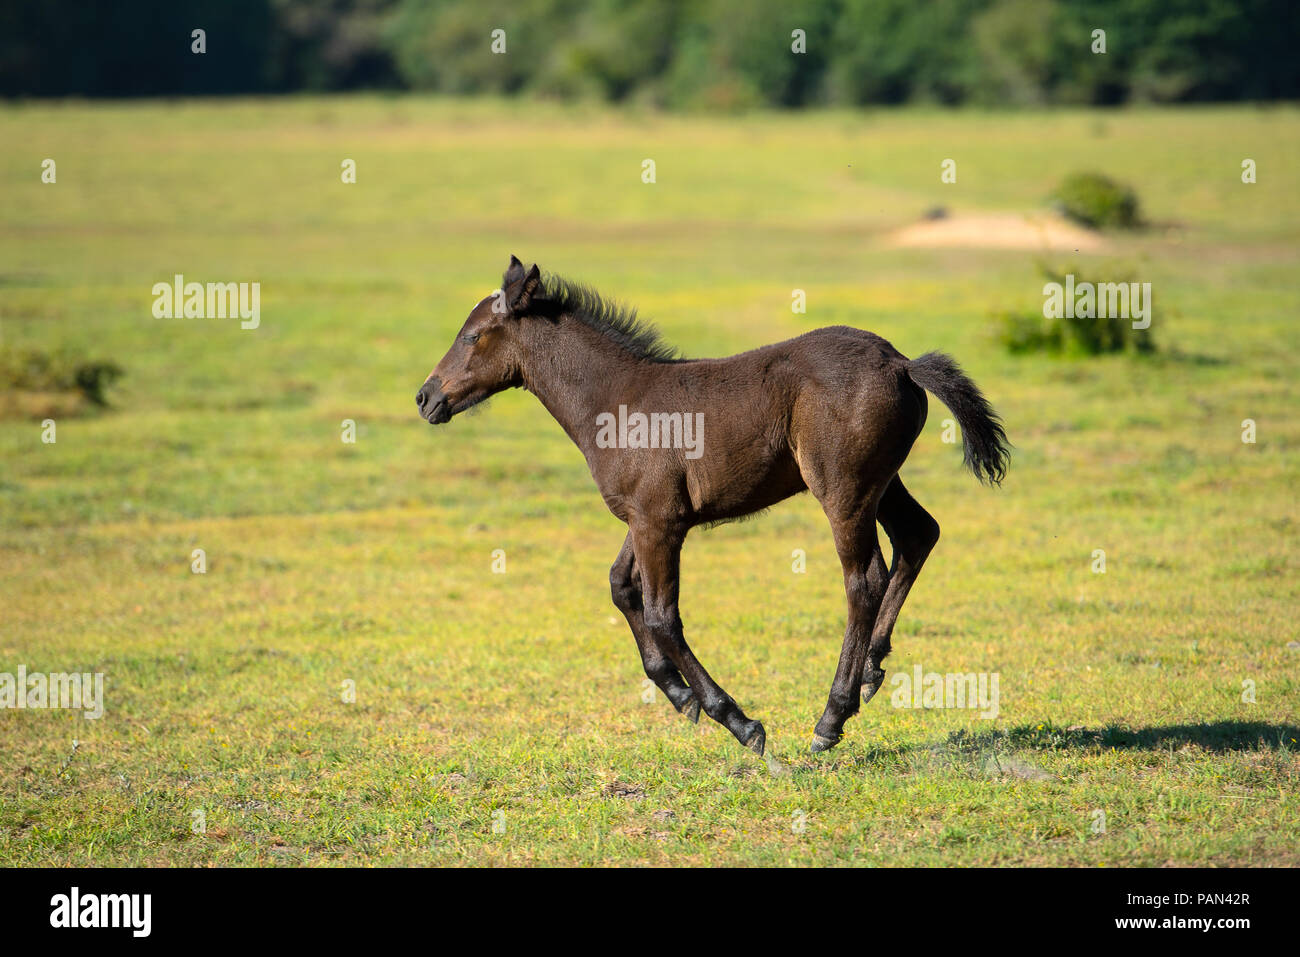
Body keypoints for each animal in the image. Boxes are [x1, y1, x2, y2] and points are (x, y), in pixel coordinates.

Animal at [417, 256, 1009, 756]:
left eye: (472, 335)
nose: (426, 398)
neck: (614, 400)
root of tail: (902, 362)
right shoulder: (648, 517)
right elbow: (621, 587)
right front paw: (680, 696)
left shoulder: (659, 523)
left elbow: (662, 615)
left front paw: (739, 721)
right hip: (881, 483)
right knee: (918, 534)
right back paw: (869, 672)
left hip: (843, 489)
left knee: (864, 581)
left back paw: (830, 719)